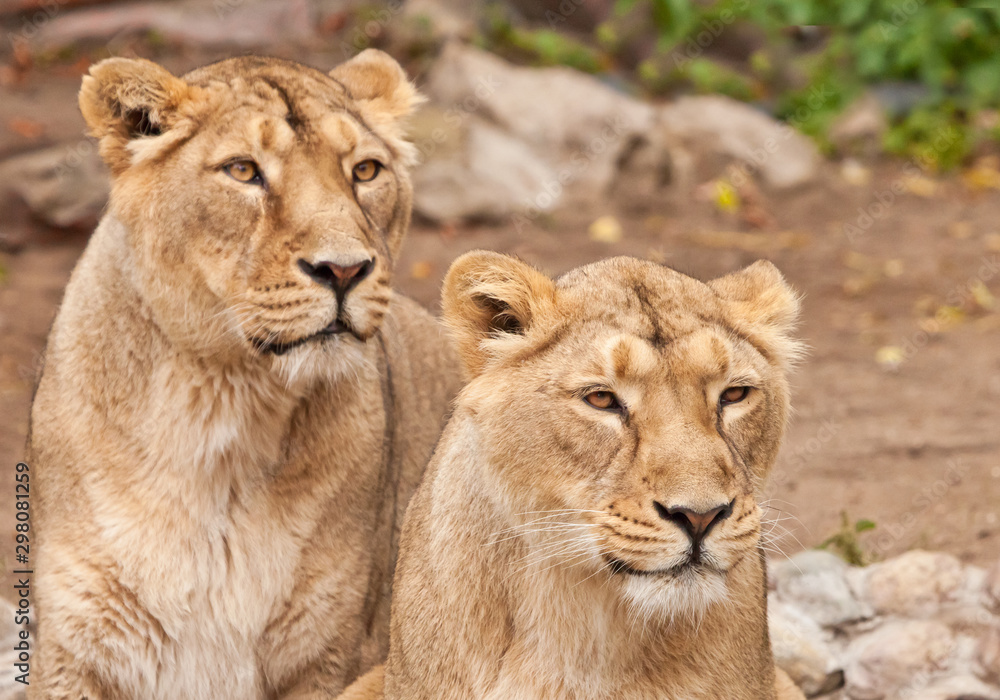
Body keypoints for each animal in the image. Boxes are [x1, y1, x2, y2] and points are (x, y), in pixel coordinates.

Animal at [27, 50, 462, 699]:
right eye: (243, 171)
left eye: (365, 170)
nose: (344, 270)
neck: (221, 404)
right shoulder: (74, 648)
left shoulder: (335, 654)